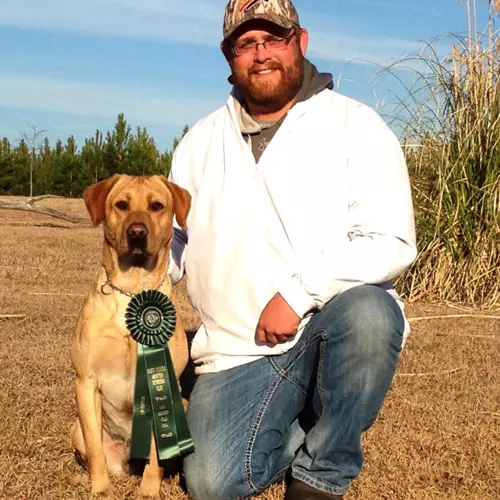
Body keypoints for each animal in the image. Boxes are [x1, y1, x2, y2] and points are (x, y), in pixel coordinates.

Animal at [68, 174, 189, 494]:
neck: (132, 291)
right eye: (122, 205)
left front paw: (148, 491)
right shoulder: (85, 380)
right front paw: (99, 489)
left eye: (157, 206)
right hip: (75, 429)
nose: (137, 232)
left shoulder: (165, 383)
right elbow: (95, 449)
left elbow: (157, 455)